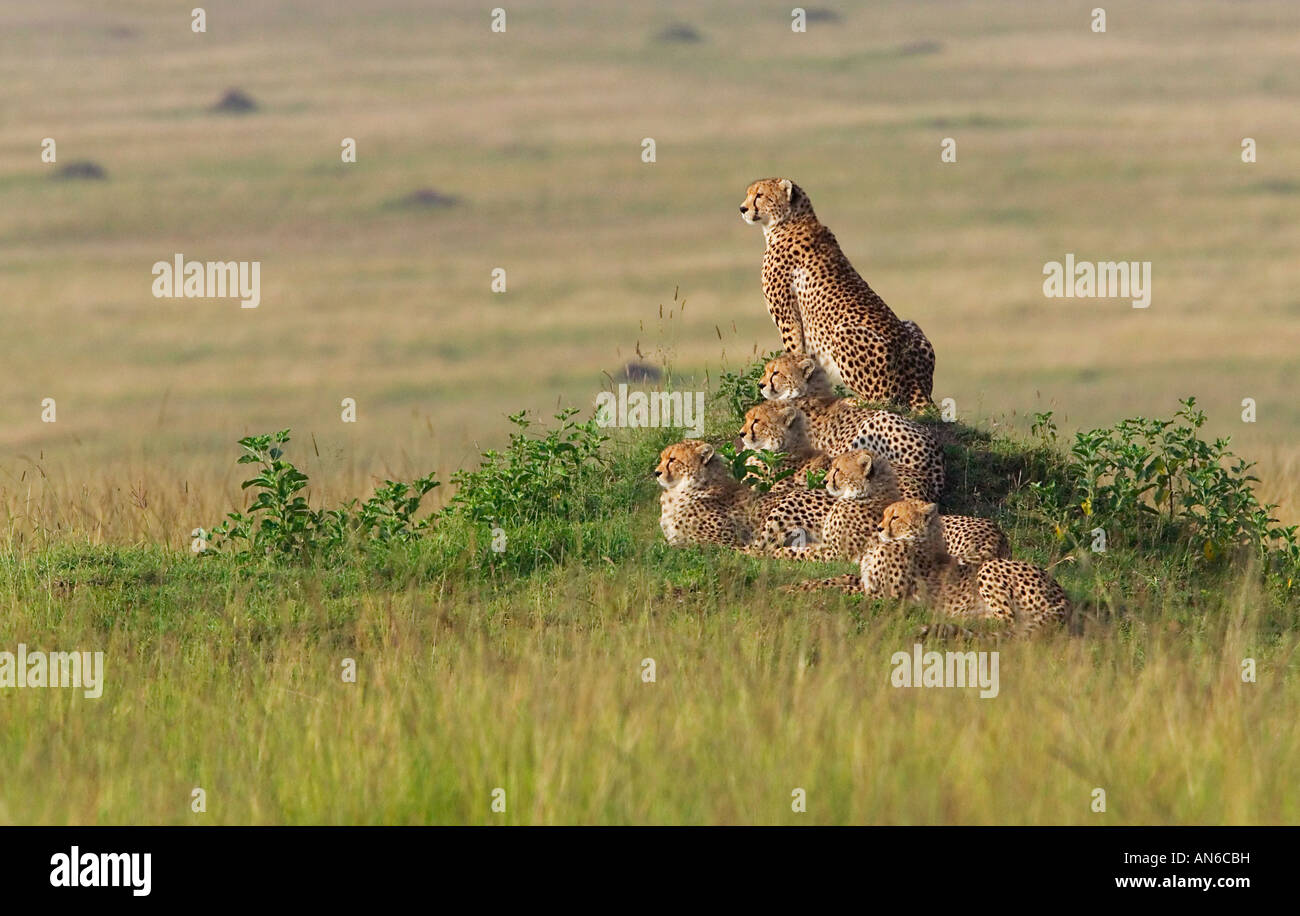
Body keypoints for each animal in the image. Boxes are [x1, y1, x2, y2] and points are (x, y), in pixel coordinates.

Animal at [740, 177, 935, 411]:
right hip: (911, 324)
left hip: (843, 332)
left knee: (885, 400)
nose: (742, 208)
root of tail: (918, 383)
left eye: (759, 195)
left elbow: (793, 350)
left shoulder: (787, 315)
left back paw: (852, 400)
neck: (791, 220)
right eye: (749, 194)